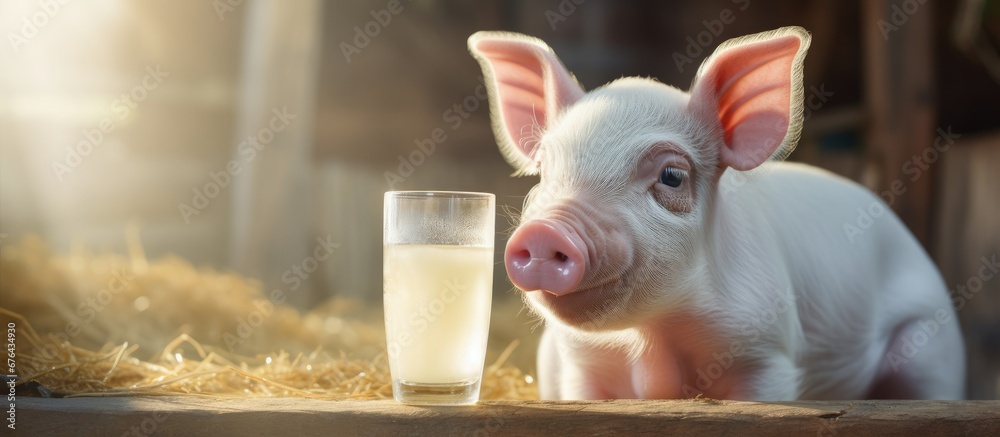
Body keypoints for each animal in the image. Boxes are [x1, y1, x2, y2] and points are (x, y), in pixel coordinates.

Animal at [467, 26, 965, 400]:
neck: (652, 339)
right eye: (545, 169)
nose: (546, 233)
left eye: (672, 175)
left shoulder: (767, 356)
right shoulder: (580, 367)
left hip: (931, 344)